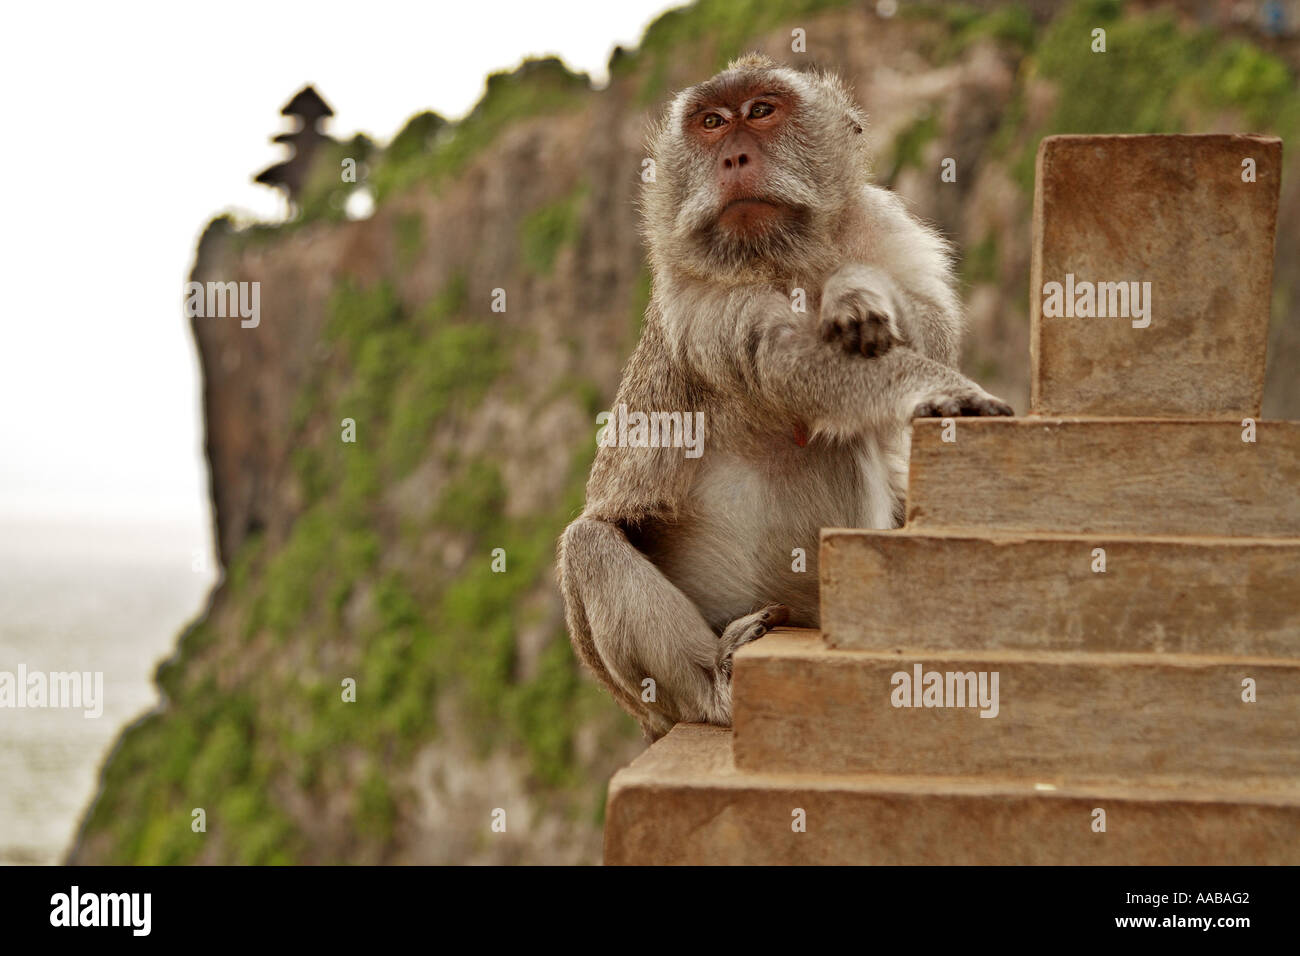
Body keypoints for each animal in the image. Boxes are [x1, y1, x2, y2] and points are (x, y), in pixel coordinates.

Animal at [558, 53, 1012, 741]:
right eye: (712, 123)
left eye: (761, 111)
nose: (734, 157)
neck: (788, 259)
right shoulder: (699, 297)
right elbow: (788, 362)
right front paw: (943, 389)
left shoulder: (881, 223)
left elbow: (934, 325)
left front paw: (857, 291)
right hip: (655, 685)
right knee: (590, 547)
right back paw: (713, 688)